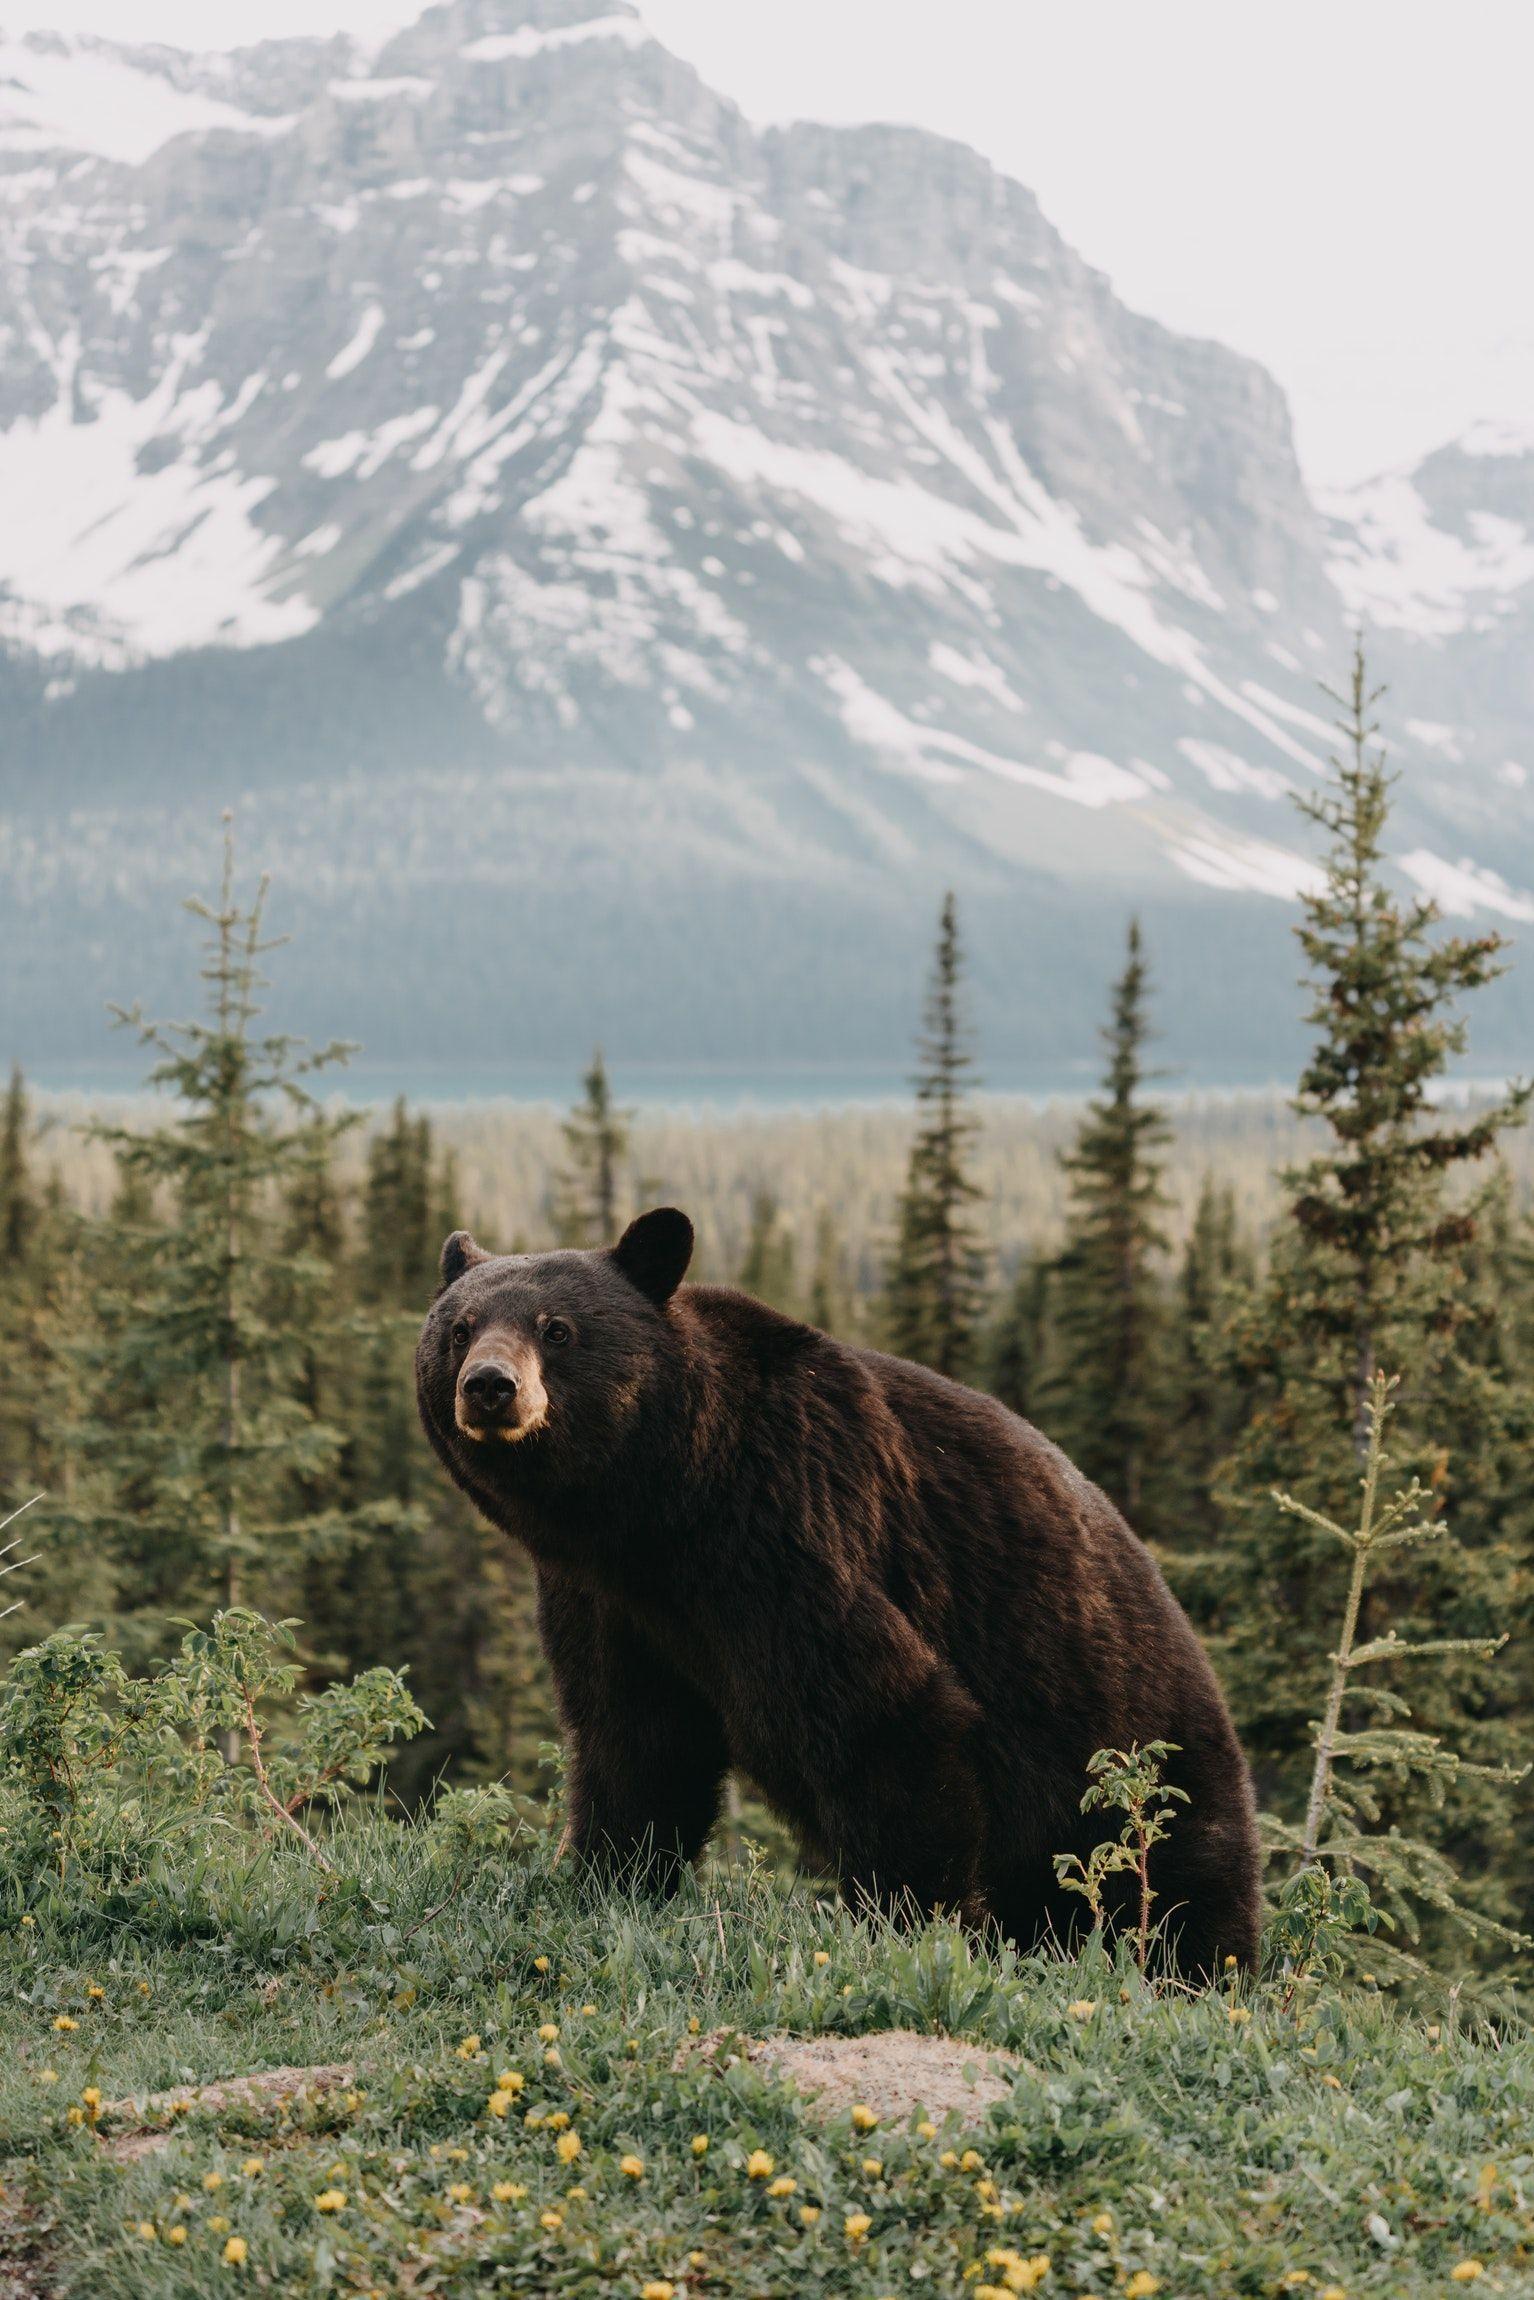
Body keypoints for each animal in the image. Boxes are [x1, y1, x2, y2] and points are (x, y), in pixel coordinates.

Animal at [415, 1207, 1261, 1976]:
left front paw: (906, 1923)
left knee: (1181, 1887)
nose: (489, 1386)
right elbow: (633, 1740)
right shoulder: (605, 1601)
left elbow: (885, 1715)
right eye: (458, 1329)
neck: (661, 1510)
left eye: (557, 1329)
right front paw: (608, 1879)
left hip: (1137, 1763)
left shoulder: (790, 1530)